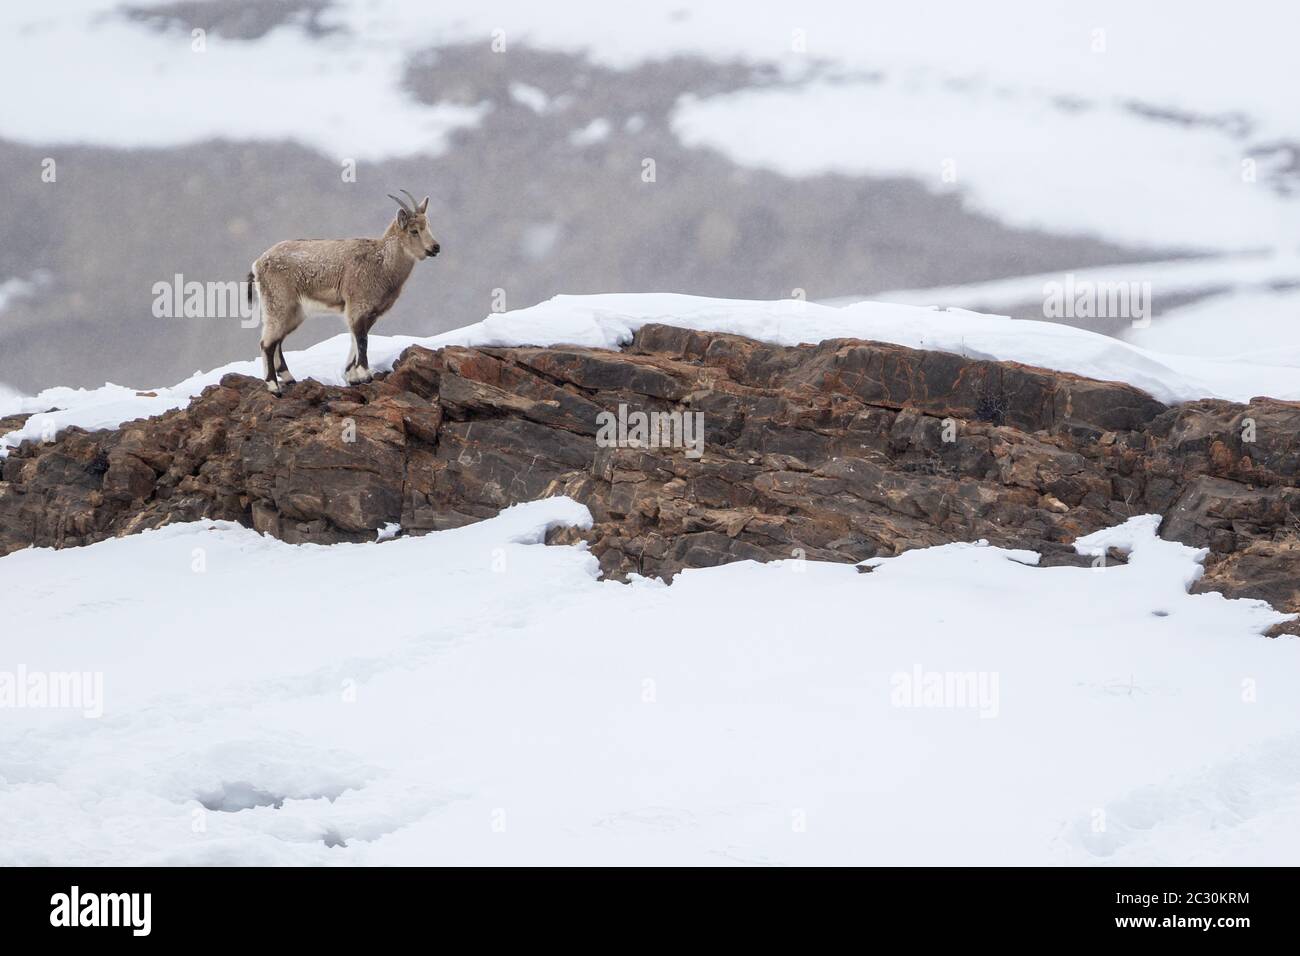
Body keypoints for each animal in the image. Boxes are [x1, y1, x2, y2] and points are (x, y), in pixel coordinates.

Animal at [247, 190, 439, 394]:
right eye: (414, 231)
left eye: (428, 226)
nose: (435, 247)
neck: (382, 263)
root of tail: (258, 264)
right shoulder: (358, 305)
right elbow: (361, 339)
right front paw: (364, 375)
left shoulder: (371, 313)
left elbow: (355, 339)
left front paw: (351, 376)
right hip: (278, 303)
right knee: (267, 343)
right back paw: (273, 386)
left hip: (294, 312)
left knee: (277, 341)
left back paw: (289, 378)